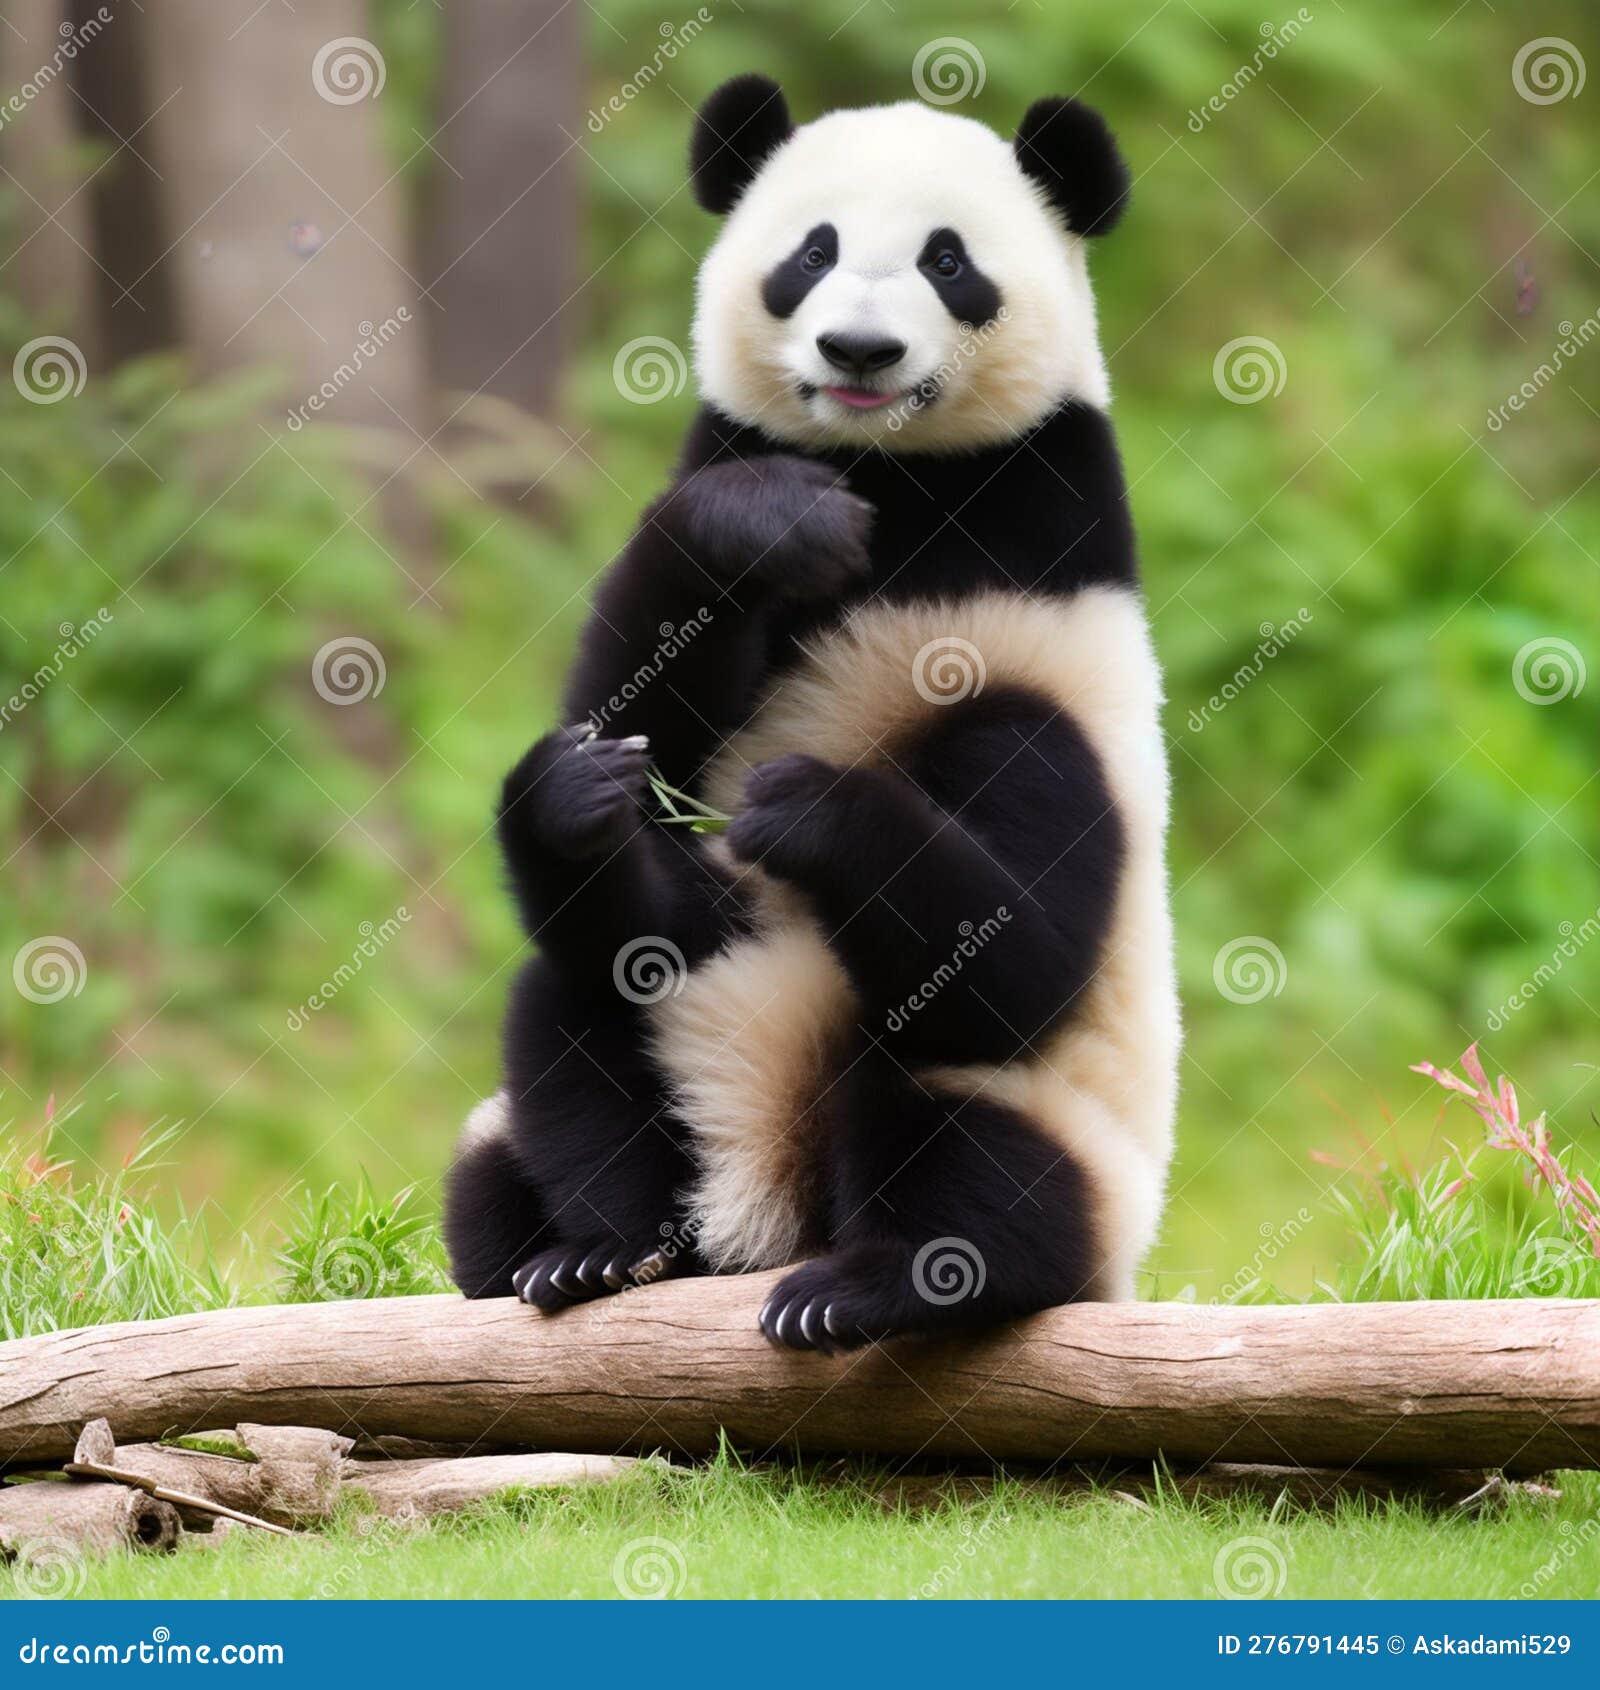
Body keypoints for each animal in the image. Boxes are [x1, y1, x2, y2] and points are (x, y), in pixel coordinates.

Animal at [443, 74, 1180, 1352]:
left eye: (948, 260)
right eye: (812, 251)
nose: (859, 349)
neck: (897, 481)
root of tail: (765, 1206)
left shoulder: (1043, 609)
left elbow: (1027, 948)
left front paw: (811, 806)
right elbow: (624, 706)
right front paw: (761, 532)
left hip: (1075, 1136)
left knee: (955, 1108)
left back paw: (873, 1283)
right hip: (648, 1027)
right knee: (577, 992)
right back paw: (597, 1248)